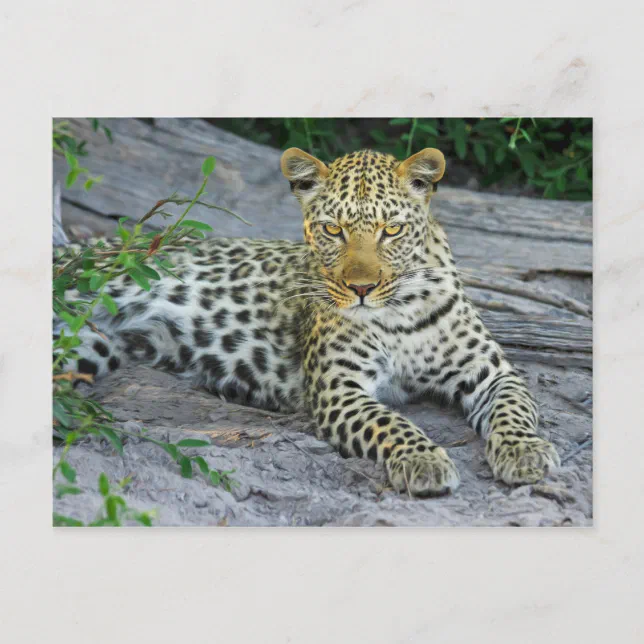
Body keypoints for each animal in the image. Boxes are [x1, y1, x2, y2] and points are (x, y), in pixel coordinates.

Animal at [58, 146, 560, 497]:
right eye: (333, 230)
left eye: (392, 231)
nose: (361, 288)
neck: (399, 311)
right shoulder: (339, 389)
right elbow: (391, 423)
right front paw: (424, 462)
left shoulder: (492, 372)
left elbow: (513, 411)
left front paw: (526, 452)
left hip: (91, 346)